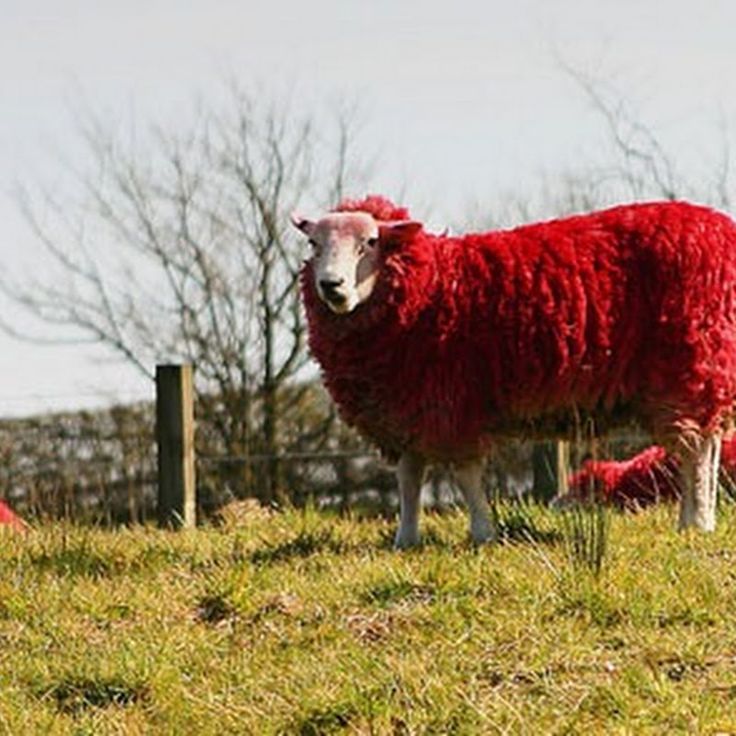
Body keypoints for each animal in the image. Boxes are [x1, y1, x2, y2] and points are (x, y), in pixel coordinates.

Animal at [292, 195, 736, 547]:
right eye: (313, 244)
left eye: (369, 242)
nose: (331, 285)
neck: (431, 286)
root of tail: (722, 231)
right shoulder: (405, 410)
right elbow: (409, 478)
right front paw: (407, 539)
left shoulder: (450, 405)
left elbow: (466, 474)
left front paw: (482, 533)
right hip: (706, 373)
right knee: (708, 444)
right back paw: (701, 518)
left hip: (688, 367)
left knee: (695, 451)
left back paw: (695, 523)